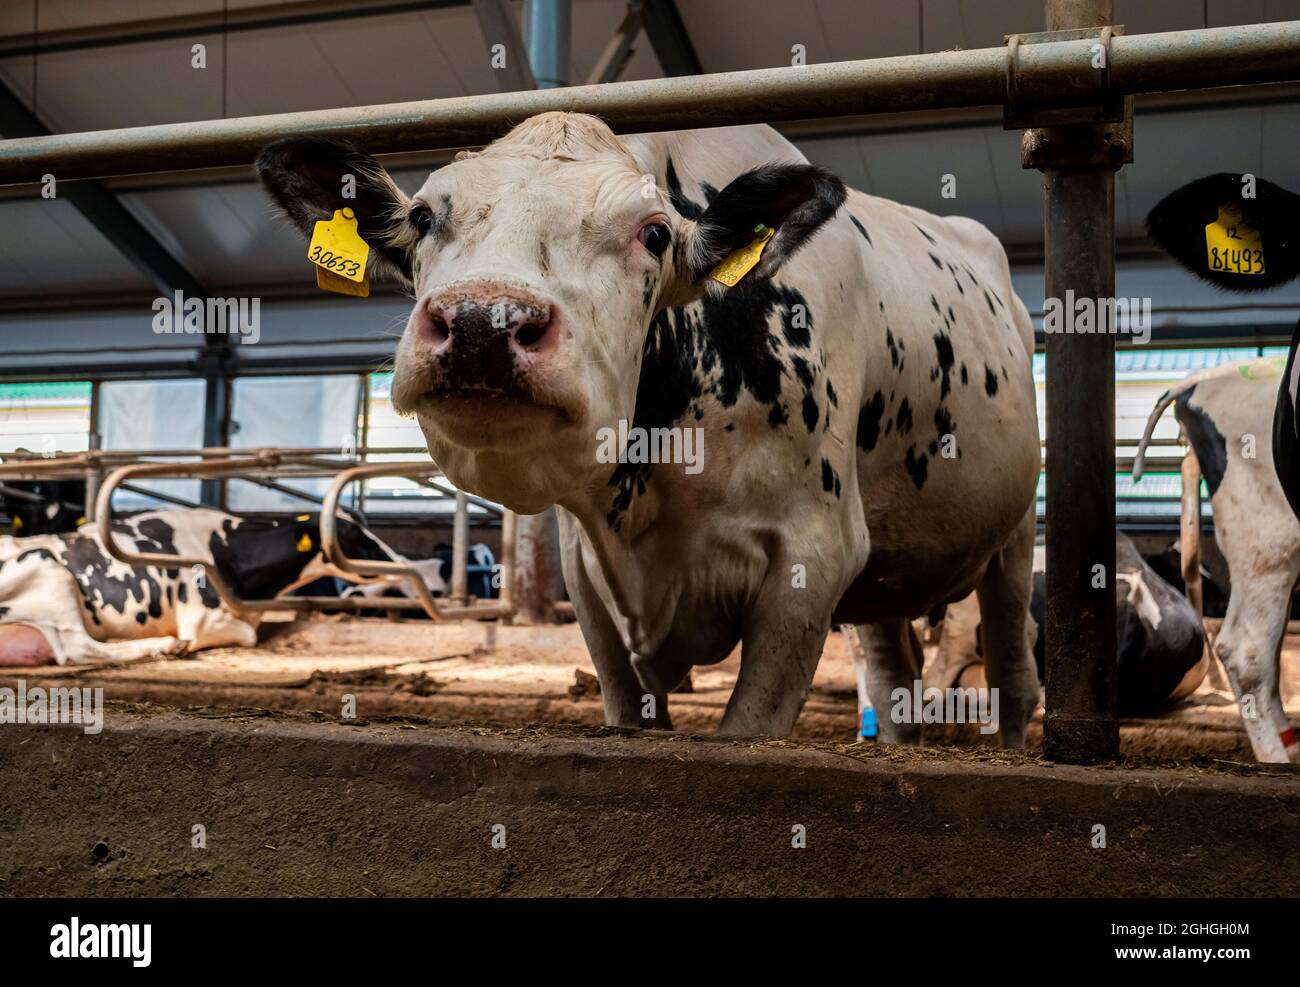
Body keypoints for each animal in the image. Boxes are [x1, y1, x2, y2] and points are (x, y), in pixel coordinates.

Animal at [0, 509, 431, 666]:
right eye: (353, 537)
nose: (405, 562)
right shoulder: (201, 618)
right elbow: (247, 637)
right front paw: (185, 643)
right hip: (48, 566)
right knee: (78, 647)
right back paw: (165, 646)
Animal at [257, 111, 1042, 743]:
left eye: (655, 233)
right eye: (423, 217)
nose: (484, 321)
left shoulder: (813, 554)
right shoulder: (589, 572)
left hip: (1014, 537)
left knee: (1012, 673)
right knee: (892, 680)